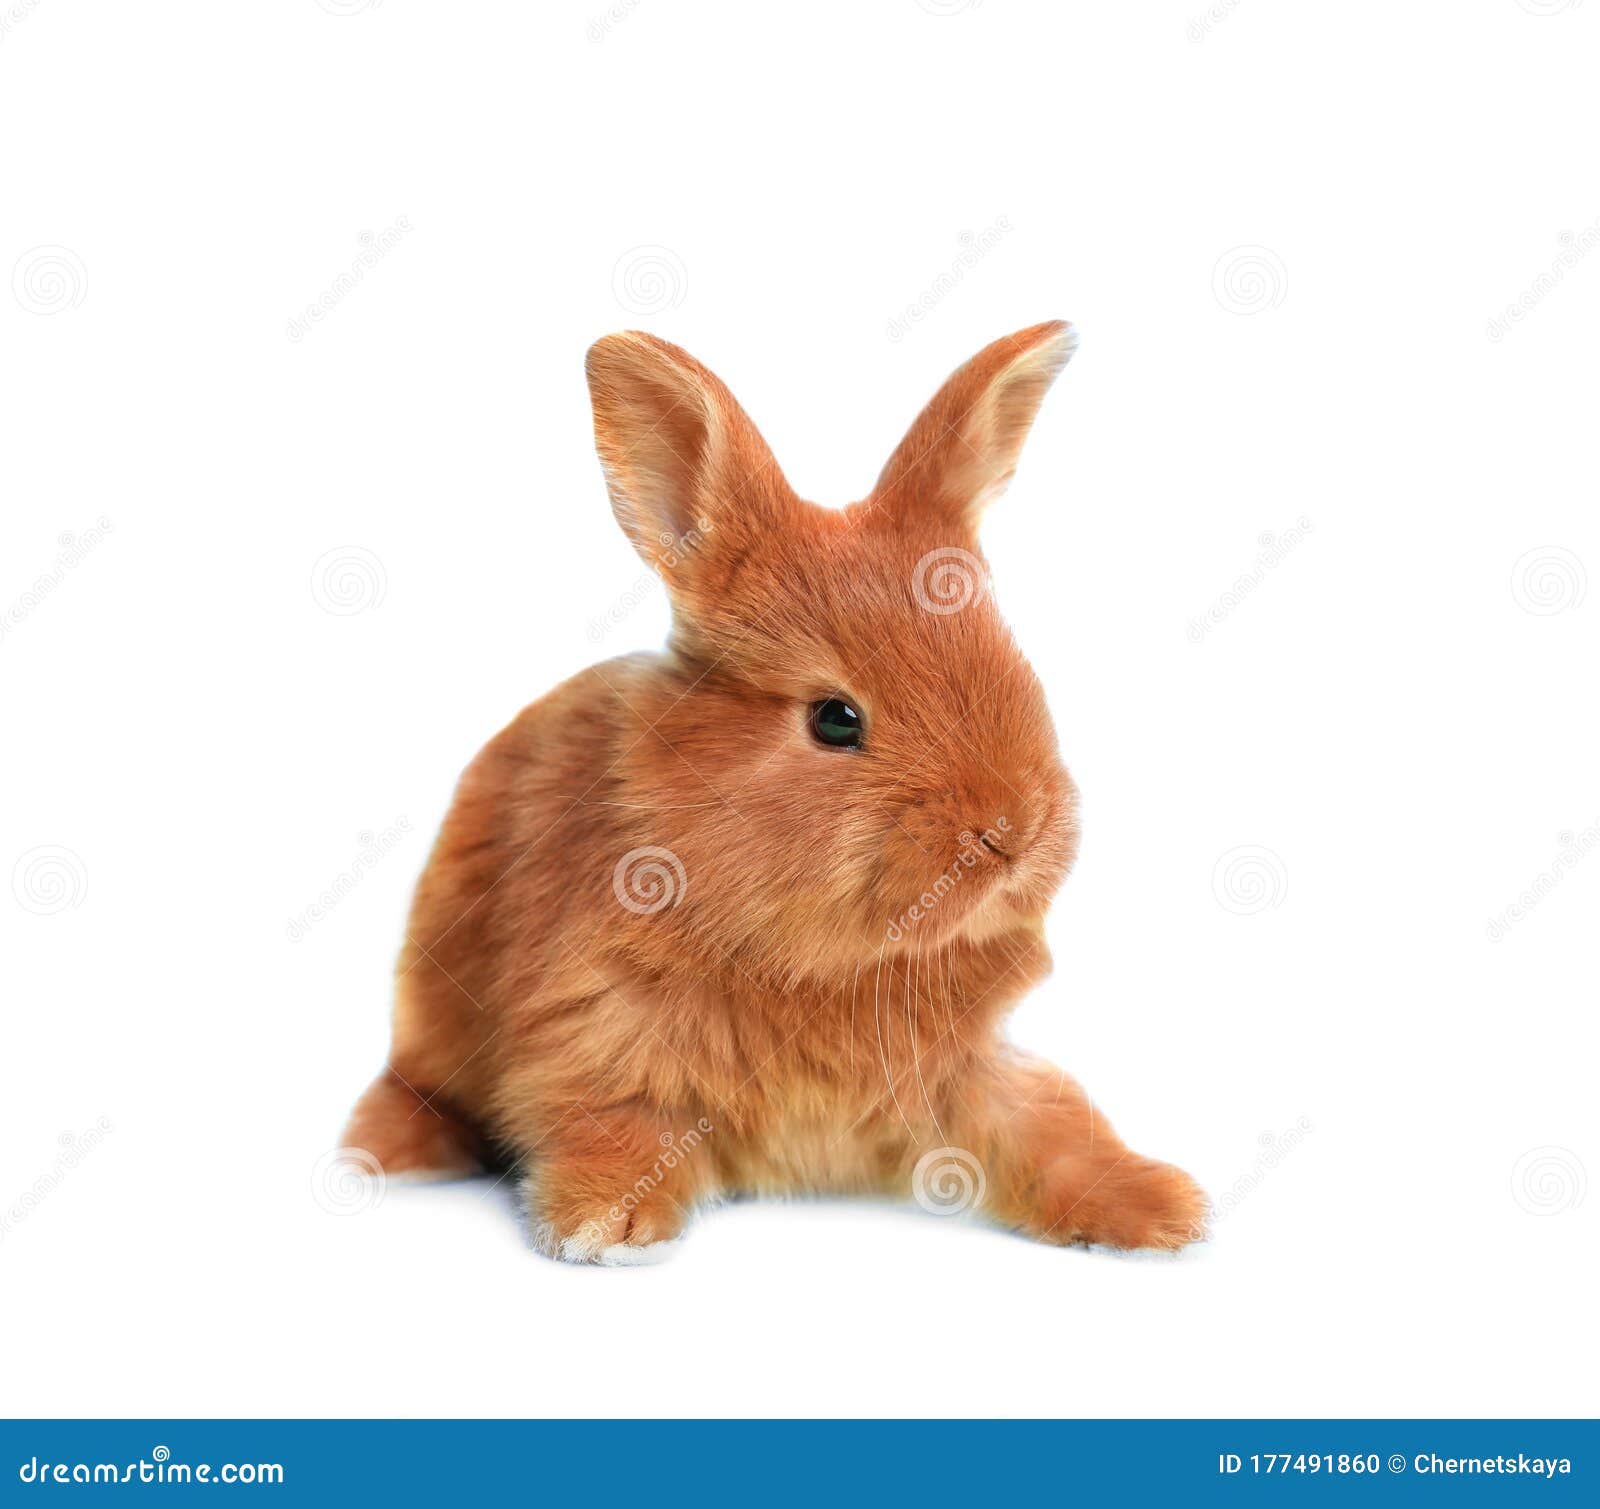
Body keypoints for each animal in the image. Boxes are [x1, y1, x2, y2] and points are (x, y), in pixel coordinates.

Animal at [341, 320, 1207, 1264]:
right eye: (834, 718)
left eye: (1017, 668)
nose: (1013, 831)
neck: (821, 961)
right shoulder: (591, 1037)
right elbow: (616, 1124)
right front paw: (606, 1225)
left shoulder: (968, 1075)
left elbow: (1048, 1126)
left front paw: (1161, 1210)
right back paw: (382, 1148)